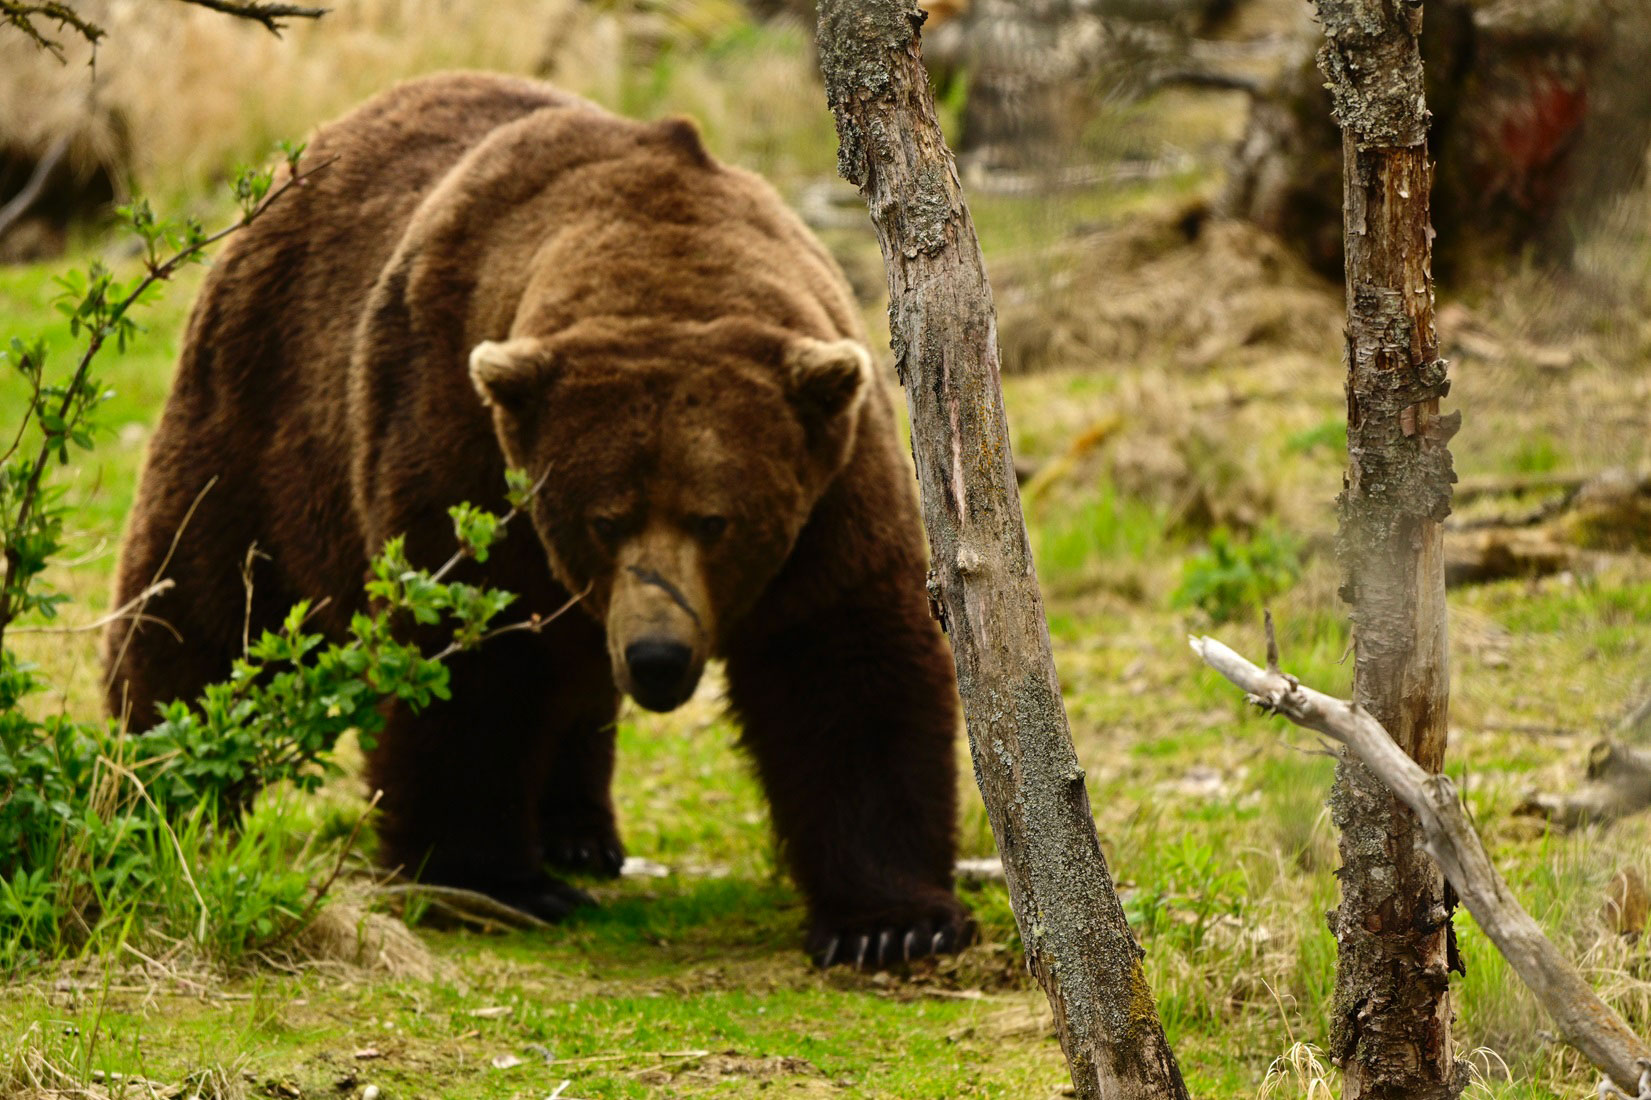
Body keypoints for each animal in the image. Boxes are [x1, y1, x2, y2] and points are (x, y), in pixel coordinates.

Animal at [103, 72, 973, 968]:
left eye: (715, 520)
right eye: (604, 520)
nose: (657, 657)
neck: (661, 268)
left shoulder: (831, 487)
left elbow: (845, 661)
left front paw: (891, 923)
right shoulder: (464, 448)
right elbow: (468, 664)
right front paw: (489, 880)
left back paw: (580, 833)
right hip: (264, 405)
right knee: (204, 602)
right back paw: (162, 789)